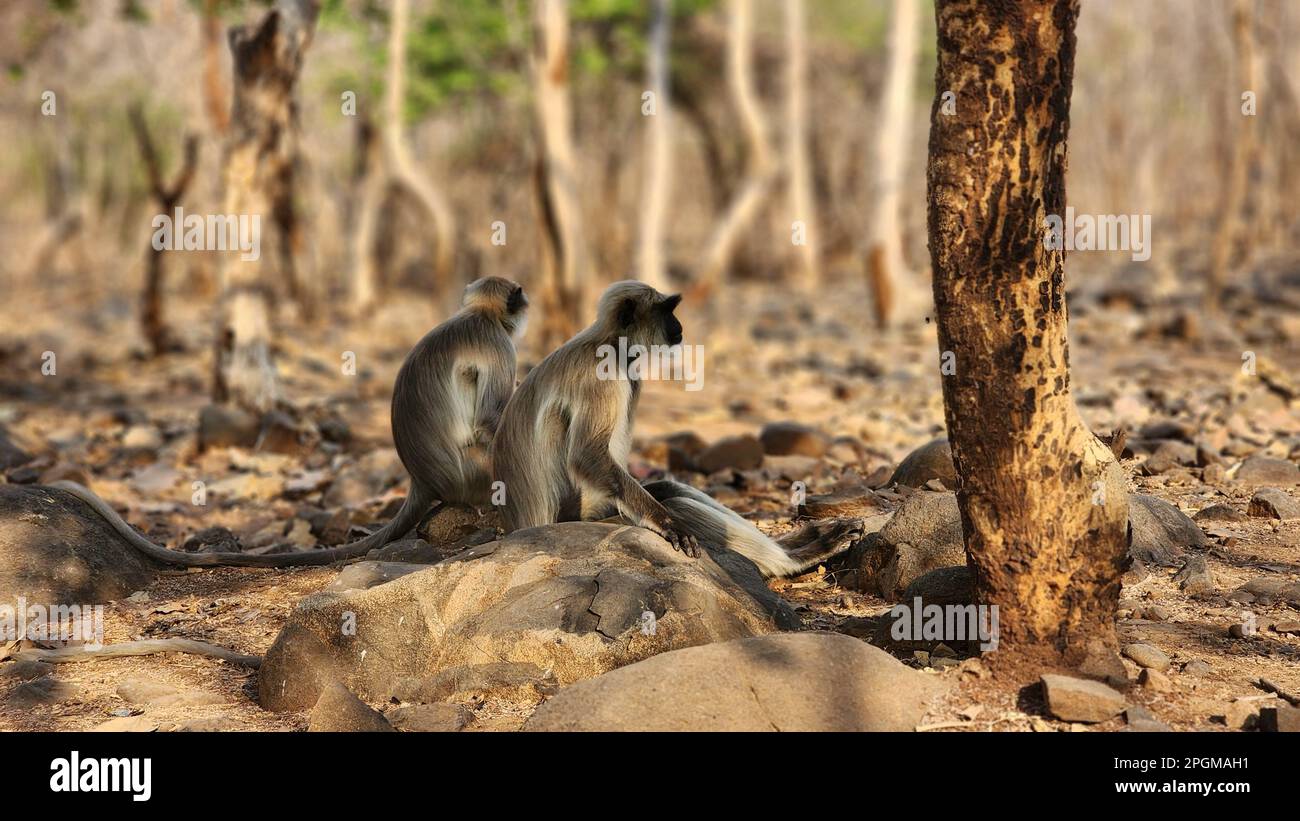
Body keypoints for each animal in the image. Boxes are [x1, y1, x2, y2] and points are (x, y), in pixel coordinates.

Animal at [491, 280, 858, 577]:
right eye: (666, 310)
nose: (679, 325)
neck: (608, 341)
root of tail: (520, 525)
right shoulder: (603, 373)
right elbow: (587, 455)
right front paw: (667, 523)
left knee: (670, 489)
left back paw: (805, 544)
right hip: (578, 514)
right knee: (676, 504)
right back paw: (794, 560)